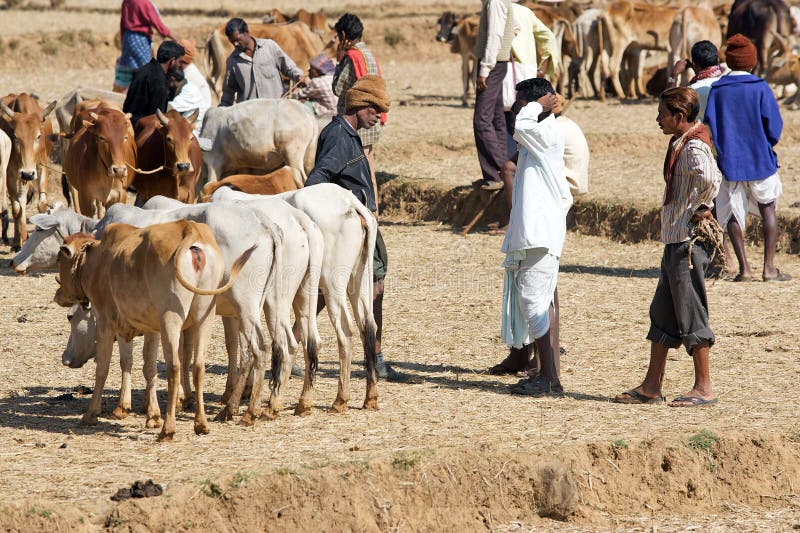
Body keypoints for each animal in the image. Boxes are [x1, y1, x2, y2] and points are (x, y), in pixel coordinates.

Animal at [0, 93, 57, 250]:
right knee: (20, 202)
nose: (27, 173)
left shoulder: (41, 167)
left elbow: (41, 205)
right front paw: (19, 241)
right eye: (15, 137)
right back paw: (19, 239)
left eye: (38, 136)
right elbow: (16, 208)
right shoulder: (11, 173)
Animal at [54, 219, 254, 440]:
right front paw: (152, 415)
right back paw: (200, 424)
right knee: (198, 366)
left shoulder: (106, 322)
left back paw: (168, 428)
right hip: (205, 317)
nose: (58, 295)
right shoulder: (151, 329)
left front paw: (92, 414)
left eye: (59, 258)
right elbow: (148, 368)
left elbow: (104, 368)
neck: (99, 260)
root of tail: (190, 229)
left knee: (174, 367)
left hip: (171, 318)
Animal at [212, 184, 380, 414]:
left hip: (331, 283)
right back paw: (368, 397)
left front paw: (232, 394)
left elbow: (235, 344)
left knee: (343, 332)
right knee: (367, 328)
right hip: (357, 280)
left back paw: (336, 400)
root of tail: (351, 202)